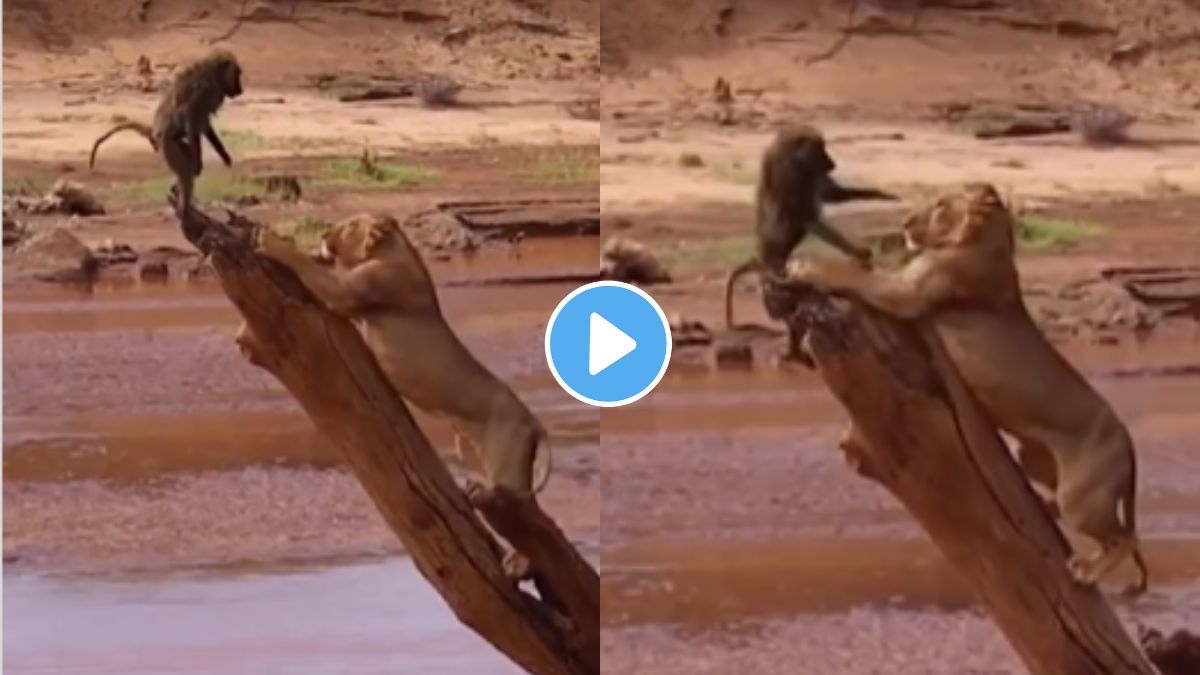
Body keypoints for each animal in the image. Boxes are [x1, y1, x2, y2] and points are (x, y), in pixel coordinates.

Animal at [89, 49, 243, 214]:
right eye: (237, 73)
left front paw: (224, 155)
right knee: (185, 173)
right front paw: (198, 164)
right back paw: (184, 209)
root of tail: (155, 131)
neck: (213, 75)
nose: (241, 89)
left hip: (173, 144)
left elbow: (203, 125)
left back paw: (178, 195)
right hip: (167, 143)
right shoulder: (203, 92)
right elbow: (191, 117)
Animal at [251, 214, 553, 499]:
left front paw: (272, 240)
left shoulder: (346, 291)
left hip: (507, 459)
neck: (389, 249)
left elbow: (306, 266)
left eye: (350, 225)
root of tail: (533, 421)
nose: (325, 234)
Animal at [776, 182, 1148, 595]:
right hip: (1034, 460)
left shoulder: (905, 292)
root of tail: (1129, 443)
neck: (985, 239)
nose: (904, 223)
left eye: (940, 204)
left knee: (1125, 537)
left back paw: (1086, 570)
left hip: (1082, 496)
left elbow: (855, 275)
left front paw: (805, 266)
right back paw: (1046, 510)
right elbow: (862, 270)